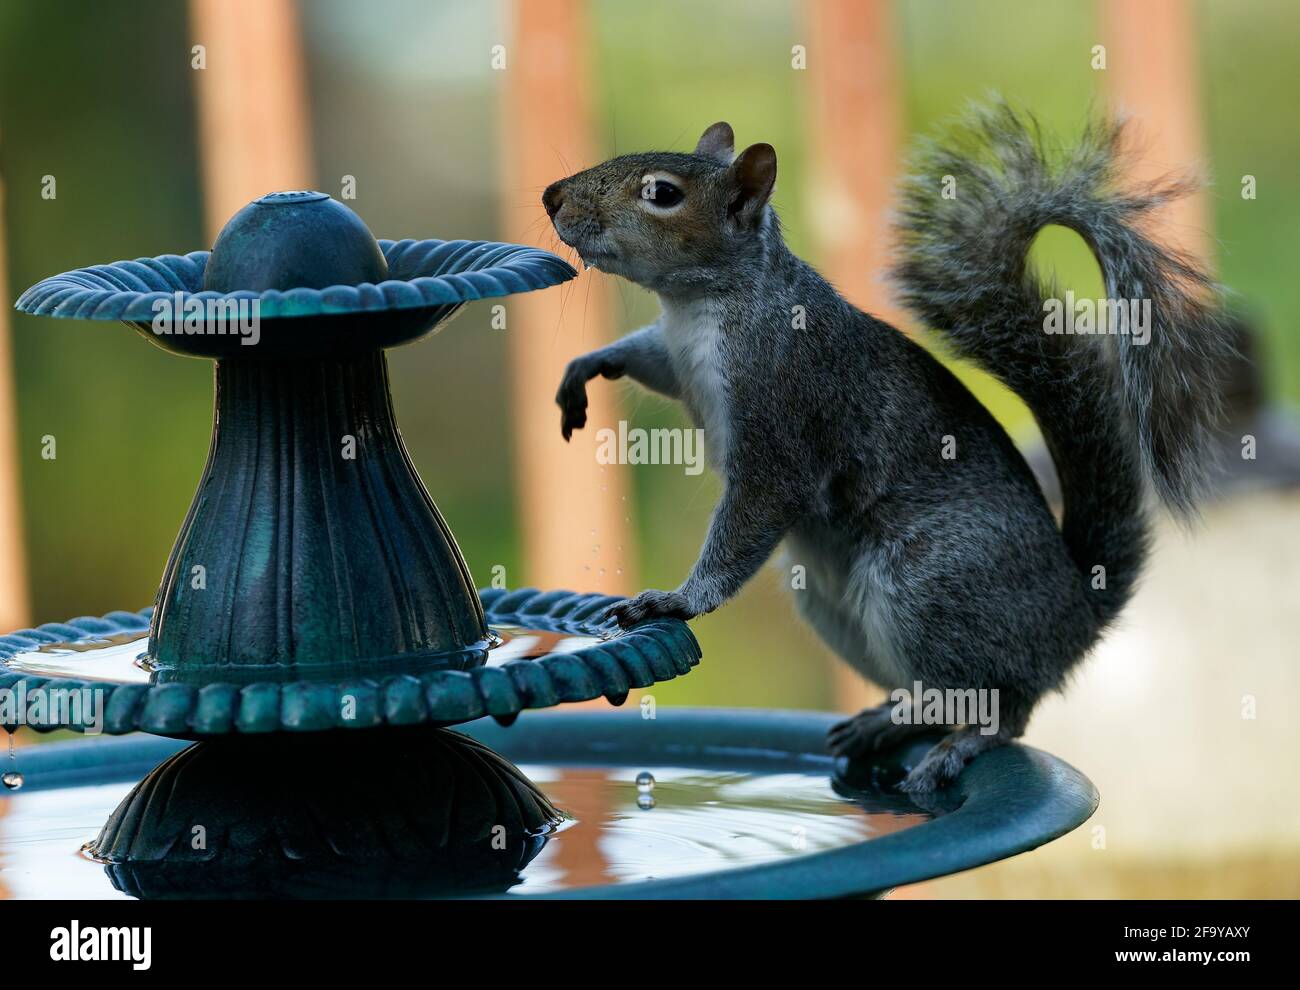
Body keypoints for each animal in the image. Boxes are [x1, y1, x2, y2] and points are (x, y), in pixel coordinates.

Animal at [542, 102, 1230, 792]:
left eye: (662, 194)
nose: (551, 197)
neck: (701, 303)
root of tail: (1075, 616)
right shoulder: (674, 354)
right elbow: (645, 356)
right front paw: (588, 366)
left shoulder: (781, 414)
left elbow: (753, 516)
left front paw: (678, 599)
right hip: (833, 604)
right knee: (940, 697)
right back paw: (890, 722)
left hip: (928, 585)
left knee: (1006, 705)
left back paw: (962, 744)